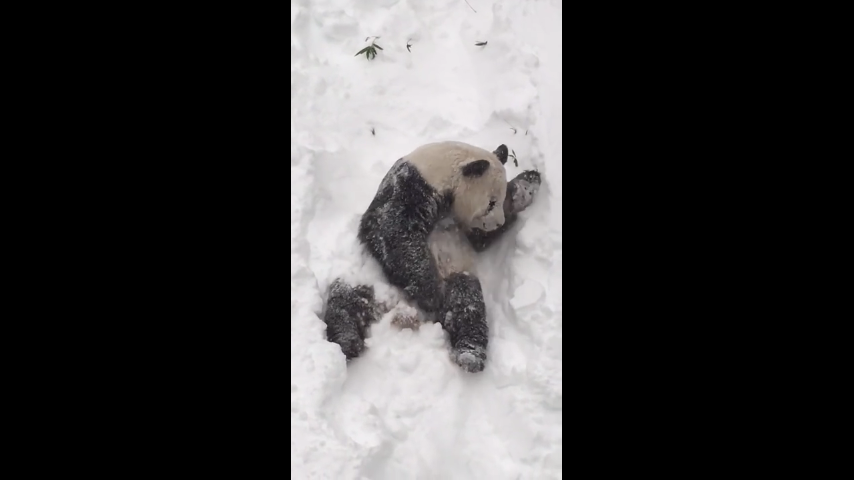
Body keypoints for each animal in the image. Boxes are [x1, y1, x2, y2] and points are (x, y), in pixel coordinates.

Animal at [323, 141, 541, 372]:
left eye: (498, 200)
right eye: (490, 203)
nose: (499, 223)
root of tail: (397, 310)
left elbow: (478, 240)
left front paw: (527, 184)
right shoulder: (409, 186)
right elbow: (392, 230)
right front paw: (430, 293)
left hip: (457, 275)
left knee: (467, 304)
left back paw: (469, 355)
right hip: (364, 277)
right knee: (344, 301)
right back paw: (346, 342)